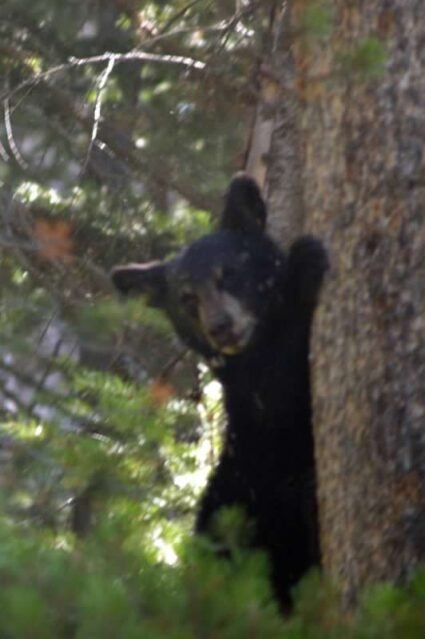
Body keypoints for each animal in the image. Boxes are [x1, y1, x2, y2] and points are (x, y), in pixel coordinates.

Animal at [111, 174, 326, 604]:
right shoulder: (254, 397)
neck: (255, 347)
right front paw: (304, 263)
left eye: (228, 273)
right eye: (186, 298)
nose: (220, 326)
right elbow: (282, 391)